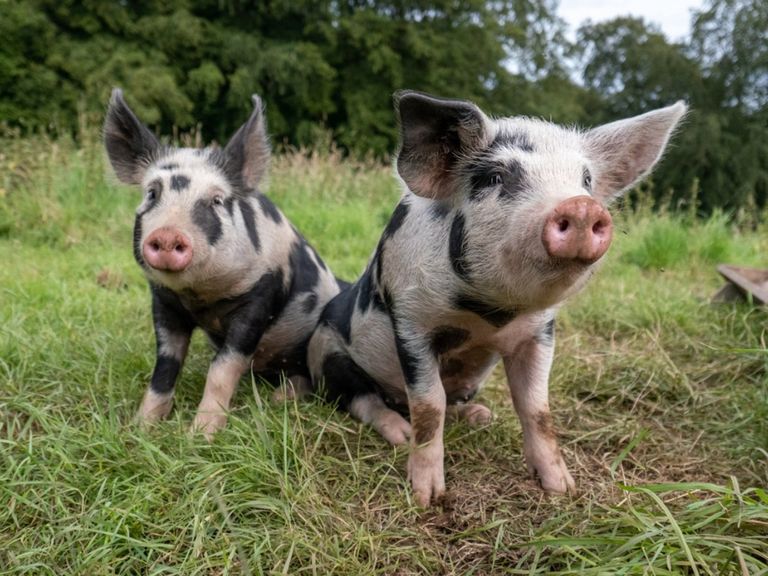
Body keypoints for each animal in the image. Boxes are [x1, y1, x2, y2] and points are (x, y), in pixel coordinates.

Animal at [104, 89, 344, 438]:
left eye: (217, 200)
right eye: (151, 194)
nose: (168, 234)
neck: (200, 298)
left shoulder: (261, 297)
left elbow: (223, 366)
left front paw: (200, 436)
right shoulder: (163, 301)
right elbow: (165, 364)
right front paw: (141, 427)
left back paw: (279, 399)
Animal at [308, 91, 686, 506]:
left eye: (586, 180)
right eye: (496, 177)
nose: (582, 206)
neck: (488, 316)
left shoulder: (540, 332)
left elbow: (536, 407)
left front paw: (563, 489)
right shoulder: (410, 321)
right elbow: (428, 405)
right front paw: (426, 497)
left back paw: (480, 416)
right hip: (325, 354)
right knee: (361, 398)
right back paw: (399, 433)